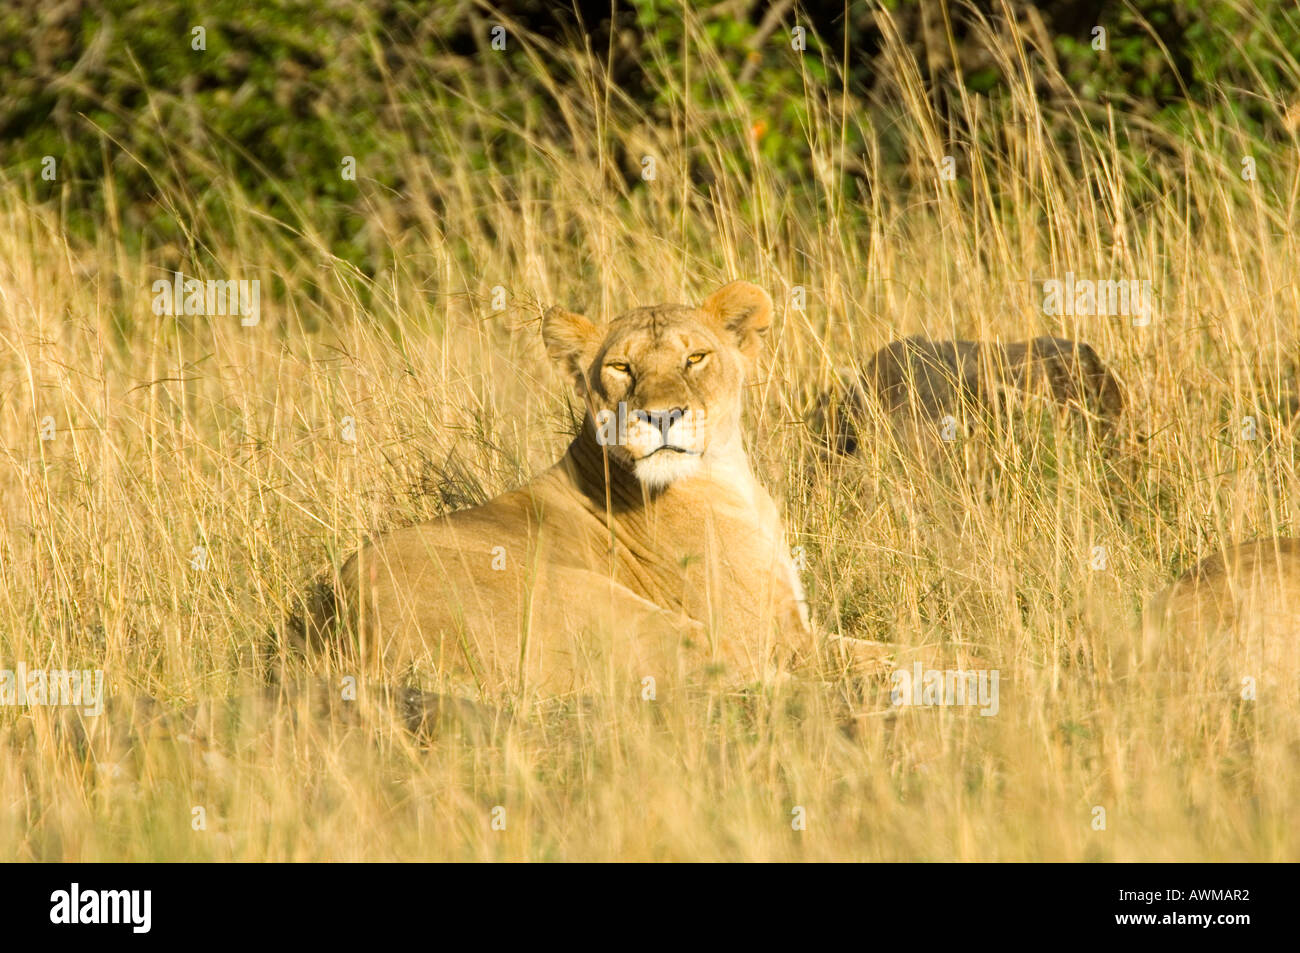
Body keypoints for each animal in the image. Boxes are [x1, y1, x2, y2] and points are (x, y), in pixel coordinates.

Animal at [302, 281, 812, 696]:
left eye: (695, 358)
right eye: (621, 367)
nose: (661, 416)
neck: (725, 475)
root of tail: (348, 628)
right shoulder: (765, 631)